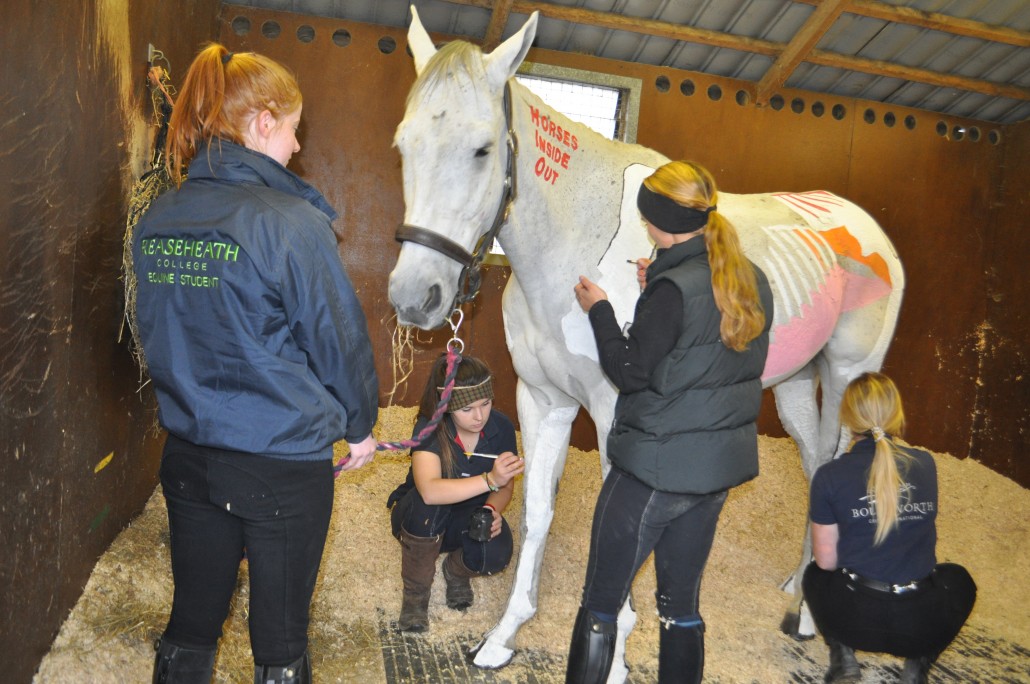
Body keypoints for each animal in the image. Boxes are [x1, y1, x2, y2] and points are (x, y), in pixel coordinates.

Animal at [388, 8, 905, 680]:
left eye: (481, 148)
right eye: (404, 145)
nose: (414, 296)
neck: (575, 246)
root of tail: (871, 232)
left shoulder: (616, 412)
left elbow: (623, 531)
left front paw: (614, 656)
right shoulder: (544, 401)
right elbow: (535, 511)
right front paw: (503, 636)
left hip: (848, 377)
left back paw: (814, 616)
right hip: (796, 385)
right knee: (818, 466)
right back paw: (799, 588)